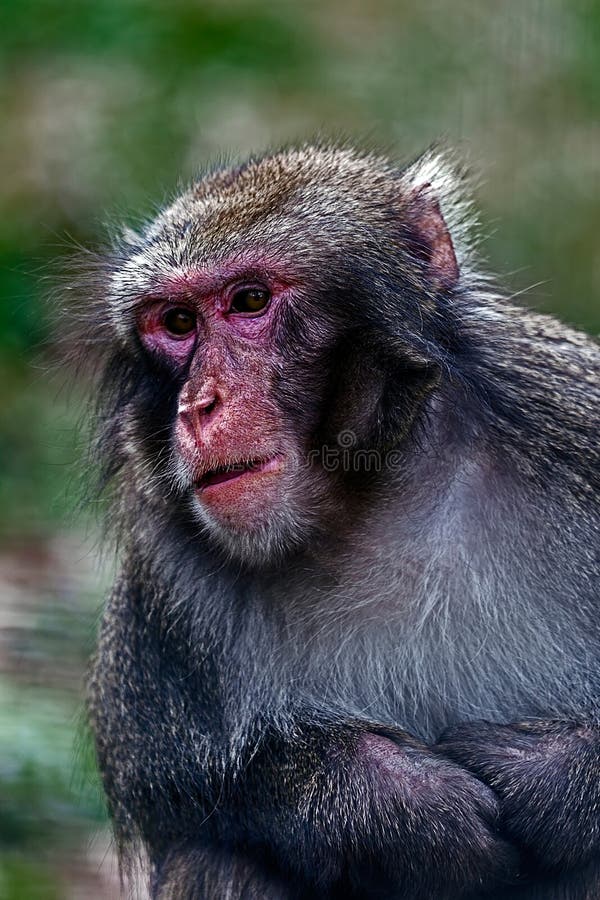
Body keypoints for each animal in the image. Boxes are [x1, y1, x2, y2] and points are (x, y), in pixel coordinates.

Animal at [81, 144, 600, 900]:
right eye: (177, 324)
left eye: (250, 301)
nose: (198, 406)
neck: (376, 487)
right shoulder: (166, 567)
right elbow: (162, 773)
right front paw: (385, 799)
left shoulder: (571, 422)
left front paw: (544, 773)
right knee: (221, 856)